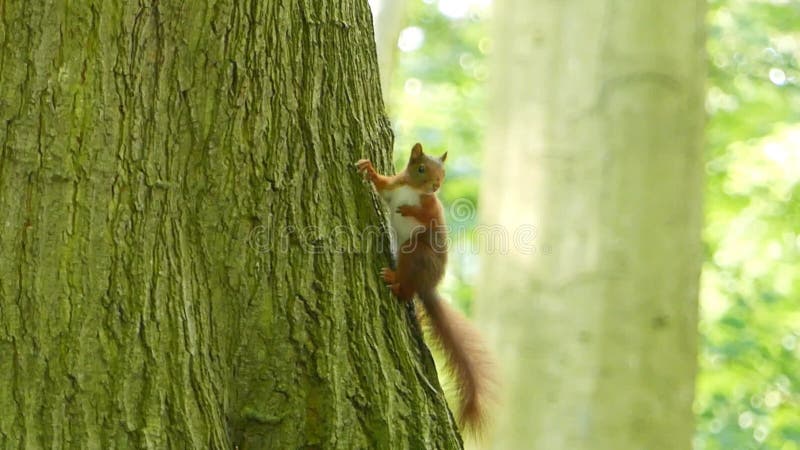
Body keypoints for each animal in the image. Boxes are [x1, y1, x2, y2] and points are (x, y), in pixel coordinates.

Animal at [356, 143, 494, 434]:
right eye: (421, 168)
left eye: (443, 172)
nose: (436, 185)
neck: (414, 191)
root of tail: (427, 286)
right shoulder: (393, 187)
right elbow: (381, 185)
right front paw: (368, 169)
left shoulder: (431, 210)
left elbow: (425, 218)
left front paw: (408, 211)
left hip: (415, 251)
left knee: (407, 287)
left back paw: (394, 281)